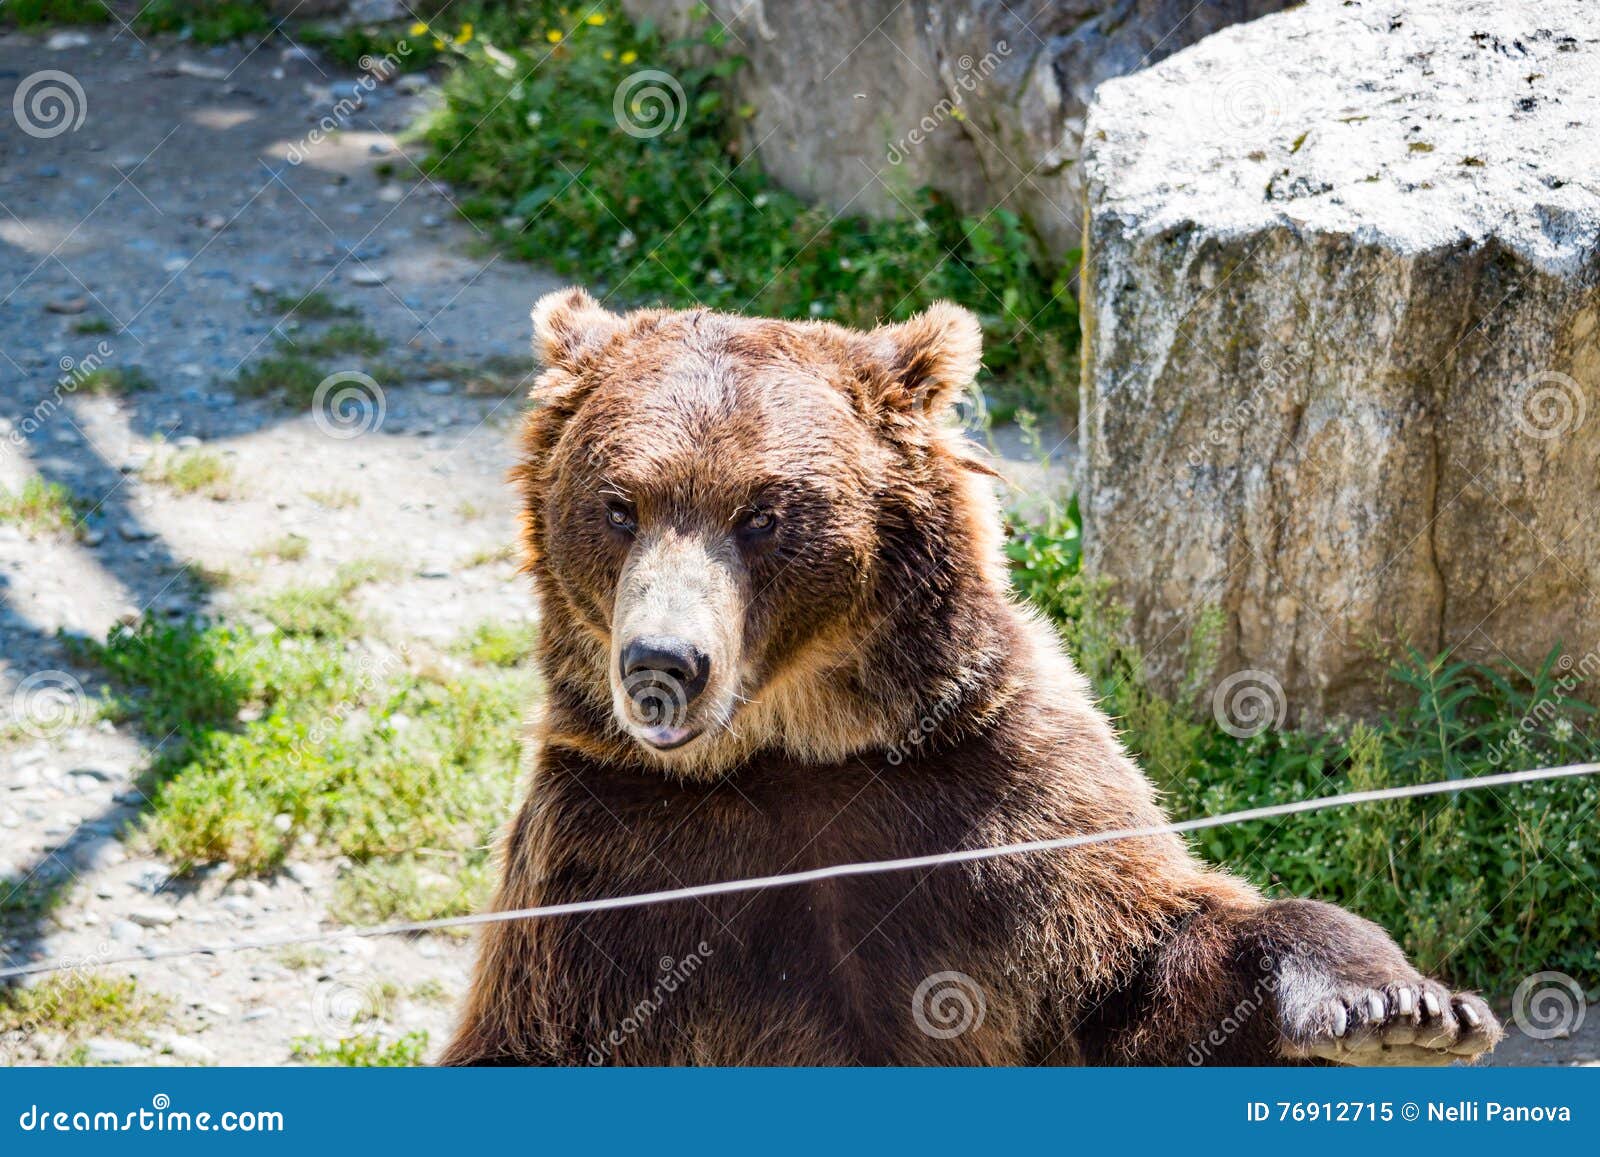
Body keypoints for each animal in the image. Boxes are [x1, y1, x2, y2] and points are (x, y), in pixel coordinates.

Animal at [441, 289, 1503, 1066]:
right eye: (620, 505)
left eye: (763, 514)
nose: (664, 663)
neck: (791, 744)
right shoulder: (611, 858)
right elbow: (528, 1038)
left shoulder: (993, 801)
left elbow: (1145, 970)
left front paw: (1398, 1006)